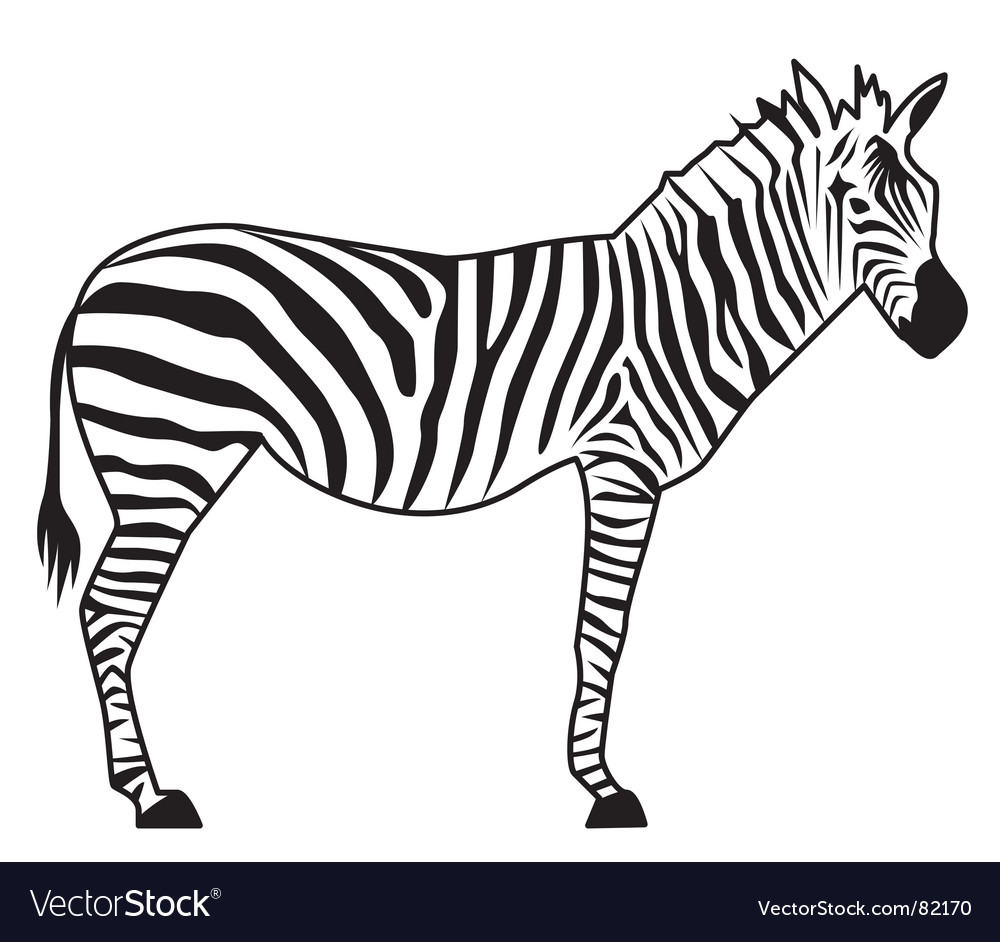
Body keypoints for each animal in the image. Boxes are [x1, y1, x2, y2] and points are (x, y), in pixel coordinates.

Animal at [37, 62, 966, 829]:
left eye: (931, 196)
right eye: (854, 202)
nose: (950, 322)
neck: (685, 307)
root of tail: (98, 278)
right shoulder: (621, 466)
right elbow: (602, 630)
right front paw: (602, 788)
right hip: (167, 459)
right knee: (108, 611)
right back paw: (150, 796)